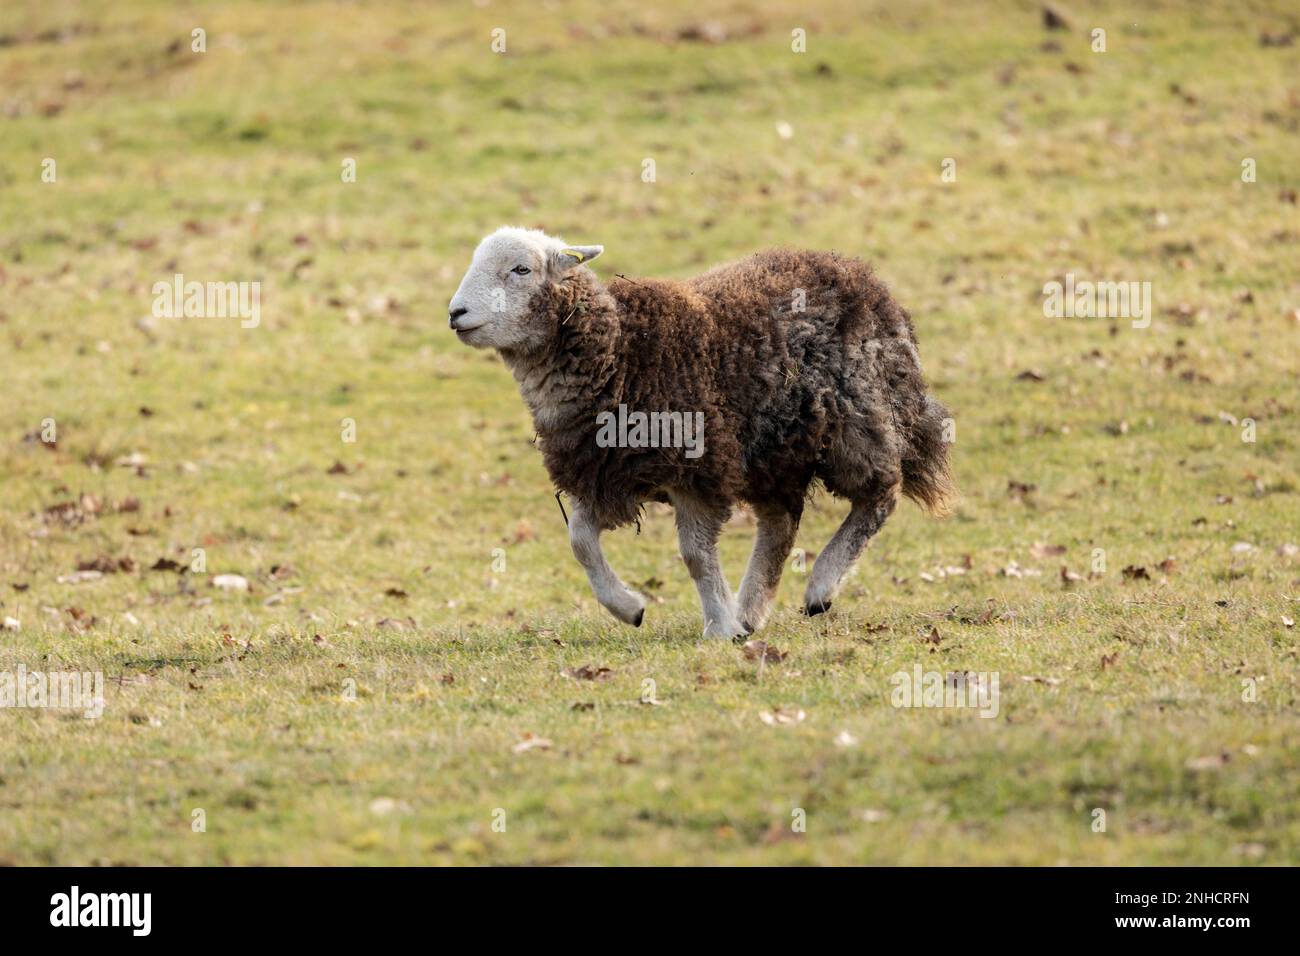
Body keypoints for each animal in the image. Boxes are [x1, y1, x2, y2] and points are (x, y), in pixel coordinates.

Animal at [448, 226, 954, 638]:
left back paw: (819, 588)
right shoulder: (604, 471)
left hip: (857, 423)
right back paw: (751, 611)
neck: (621, 353)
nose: (456, 312)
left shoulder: (699, 469)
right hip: (775, 450)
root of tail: (862, 275)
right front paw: (630, 608)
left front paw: (718, 626)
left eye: (521, 269)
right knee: (781, 523)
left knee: (879, 495)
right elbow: (580, 543)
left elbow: (694, 555)